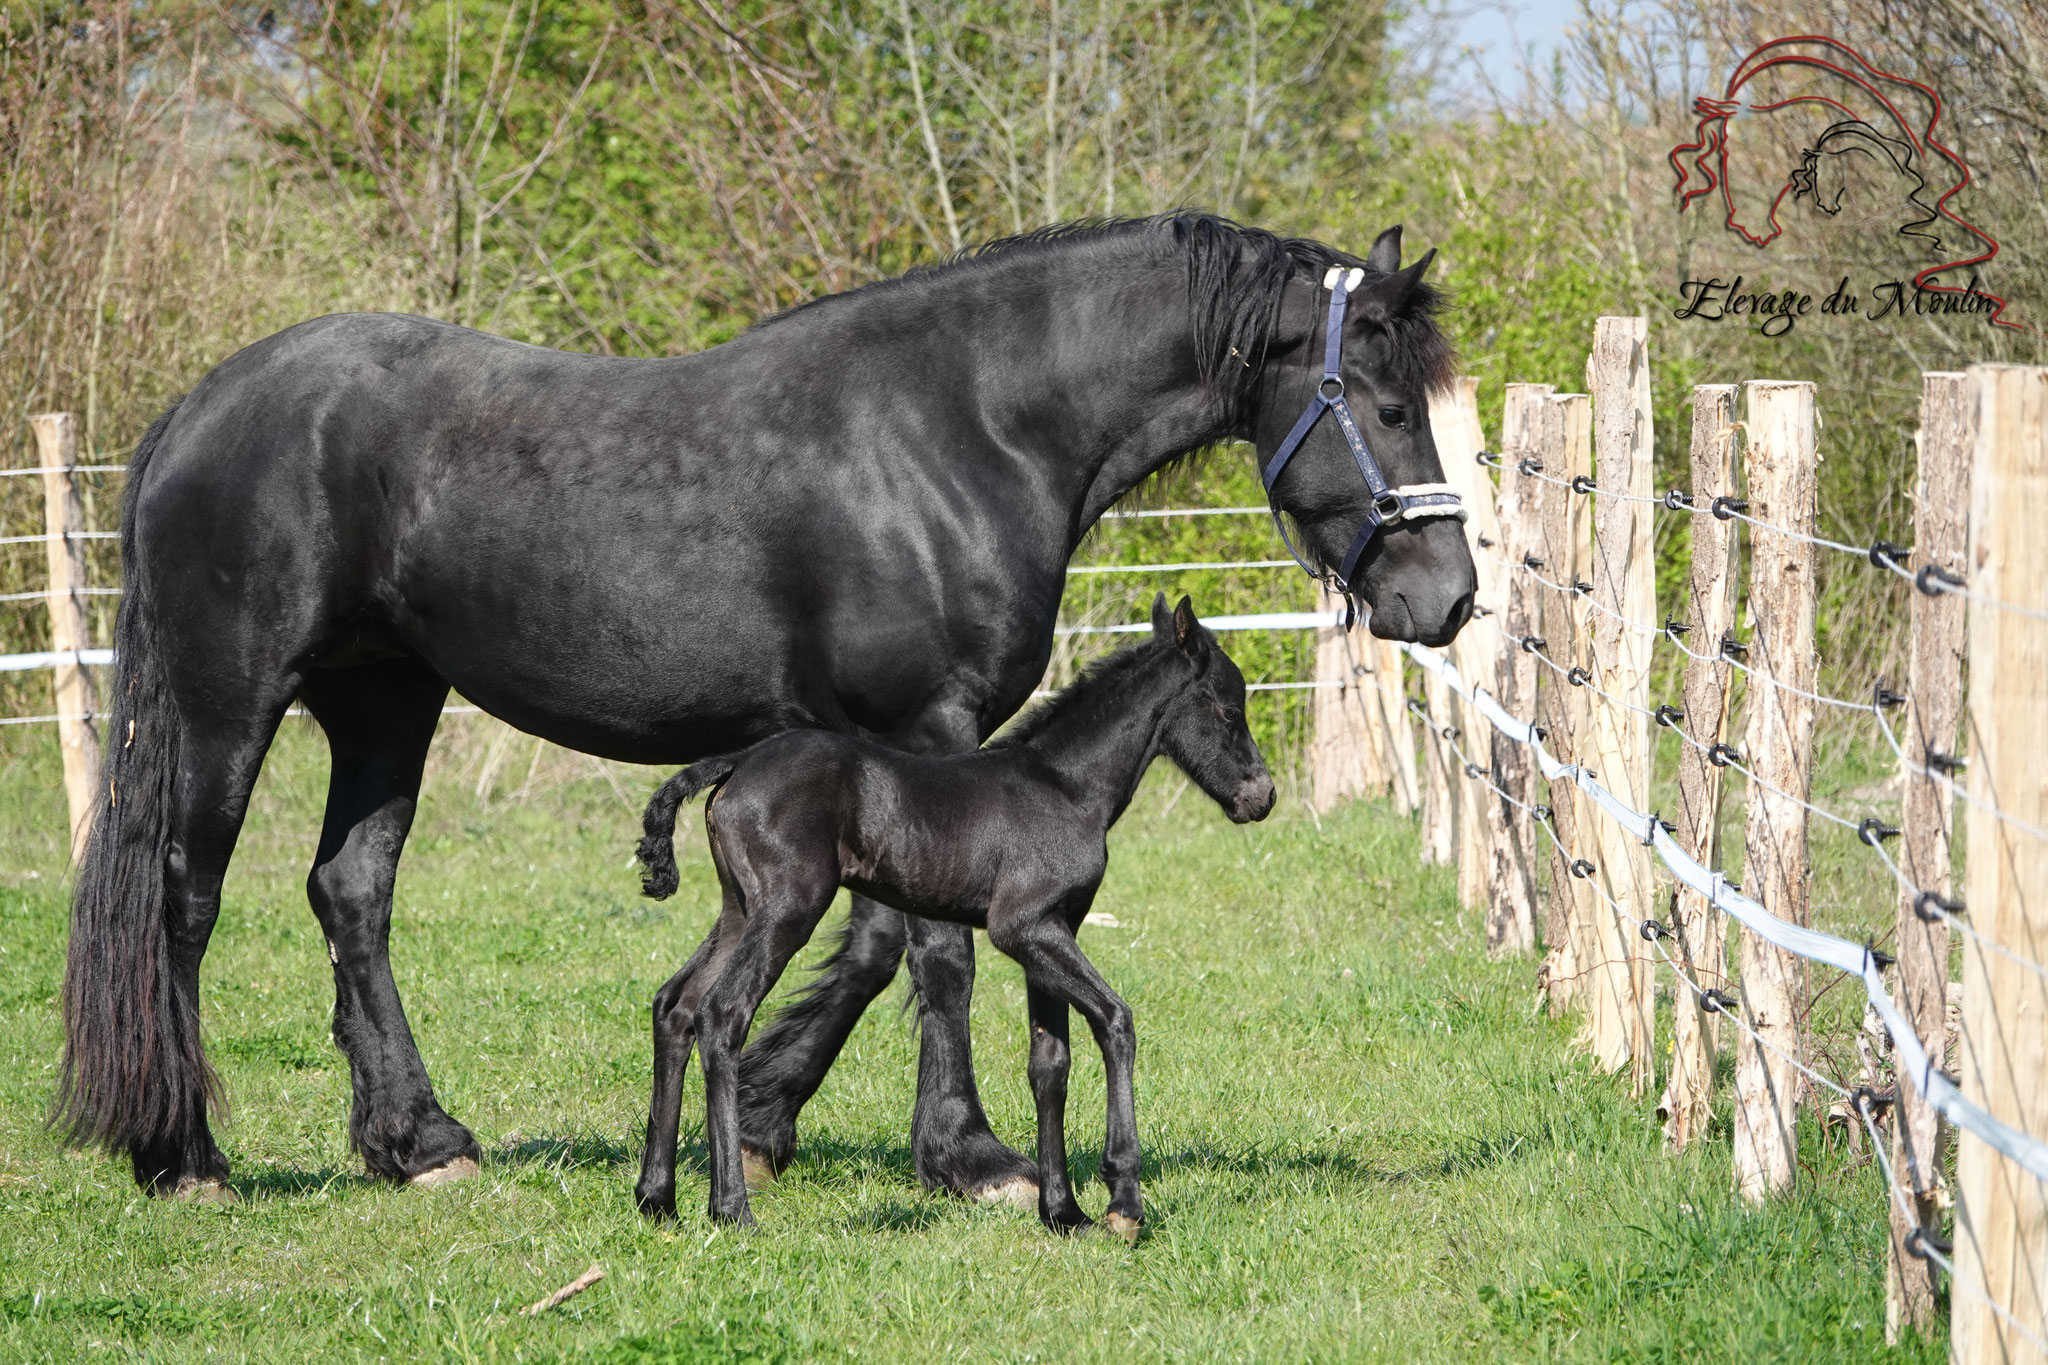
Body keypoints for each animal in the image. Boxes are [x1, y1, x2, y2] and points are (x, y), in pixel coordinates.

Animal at [631, 595, 1273, 1236]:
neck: (1066, 788)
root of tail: (735, 764)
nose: (1261, 797)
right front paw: (1123, 1205)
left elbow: (1050, 1062)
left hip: (740, 909)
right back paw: (731, 1209)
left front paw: (1063, 1213)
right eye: (1227, 708)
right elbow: (1115, 1020)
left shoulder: (1053, 928)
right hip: (787, 908)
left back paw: (657, 1199)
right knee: (723, 1012)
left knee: (676, 1005)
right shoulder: (1025, 927)